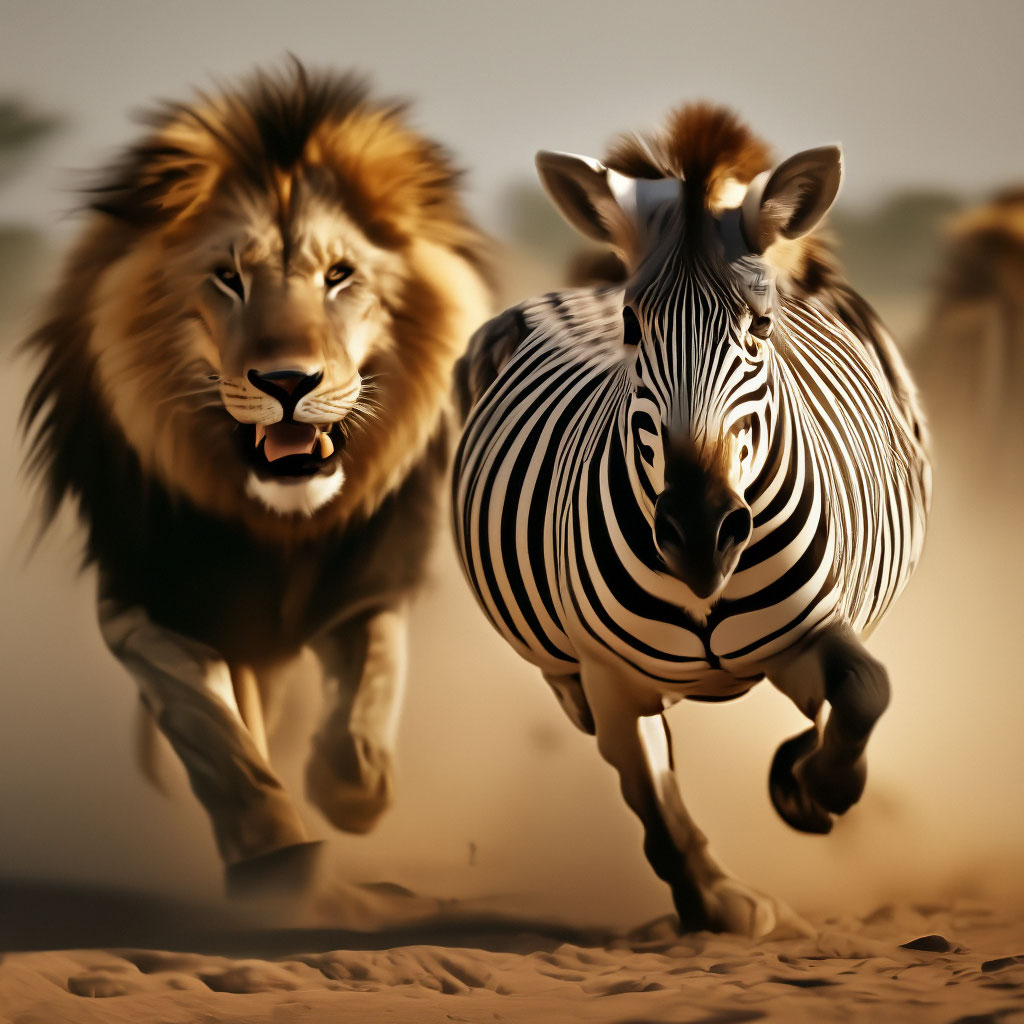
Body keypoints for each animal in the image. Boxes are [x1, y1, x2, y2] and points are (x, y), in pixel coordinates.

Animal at [21, 62, 491, 893]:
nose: (287, 381)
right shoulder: (149, 597)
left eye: (340, 276)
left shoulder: (370, 580)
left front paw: (349, 789)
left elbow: (369, 687)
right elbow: (214, 730)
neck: (278, 522)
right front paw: (273, 858)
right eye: (228, 279)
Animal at [452, 105, 931, 938]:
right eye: (633, 327)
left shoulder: (809, 633)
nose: (700, 533)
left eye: (761, 327)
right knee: (592, 715)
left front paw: (808, 788)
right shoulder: (611, 675)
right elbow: (651, 796)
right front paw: (721, 906)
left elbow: (865, 690)